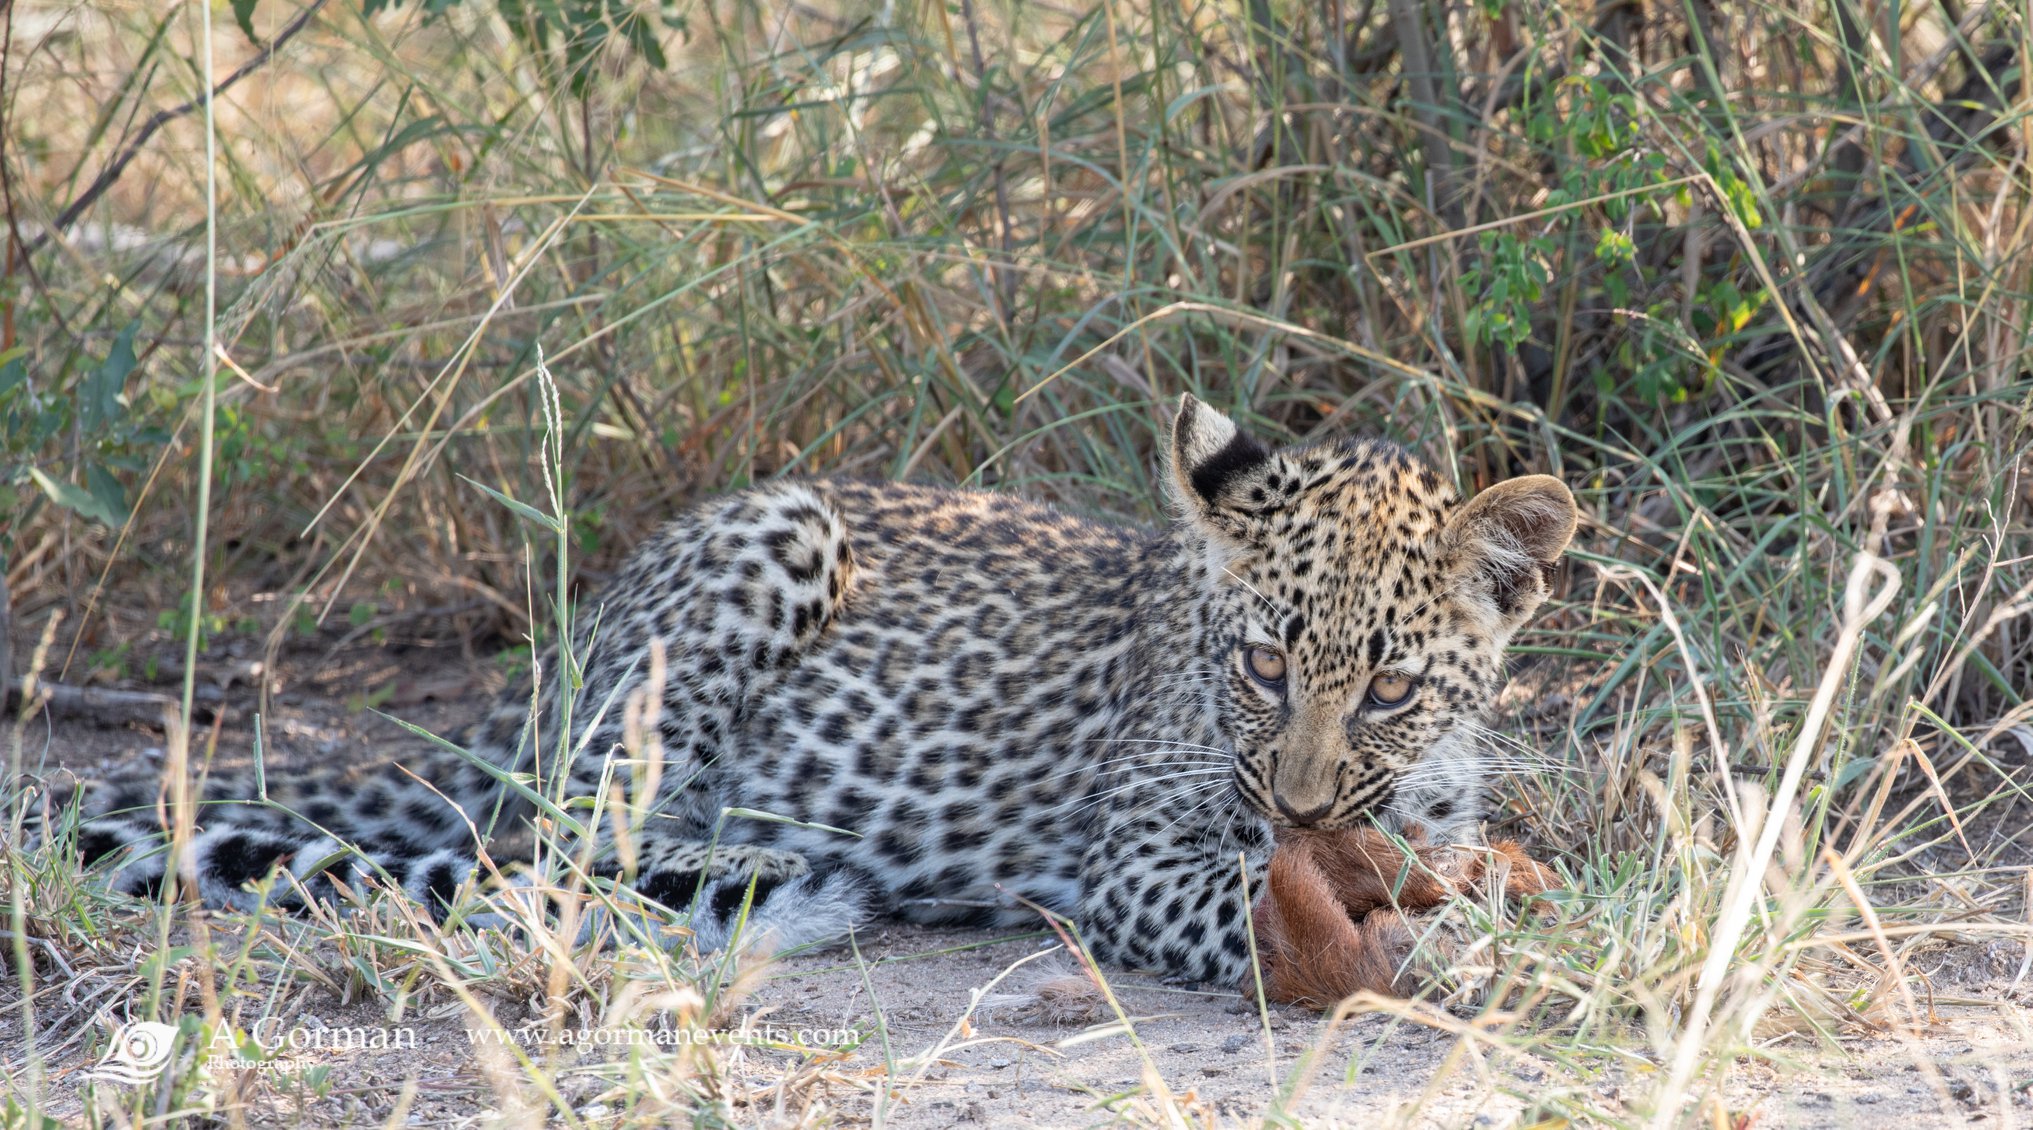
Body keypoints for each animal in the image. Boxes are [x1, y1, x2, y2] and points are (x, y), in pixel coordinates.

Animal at [52, 395, 1577, 988]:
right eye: (1264, 663)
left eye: (1388, 685)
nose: (1307, 804)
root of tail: (551, 656)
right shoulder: (1137, 861)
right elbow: (1250, 893)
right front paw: (1438, 949)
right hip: (767, 547)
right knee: (538, 858)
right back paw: (765, 875)